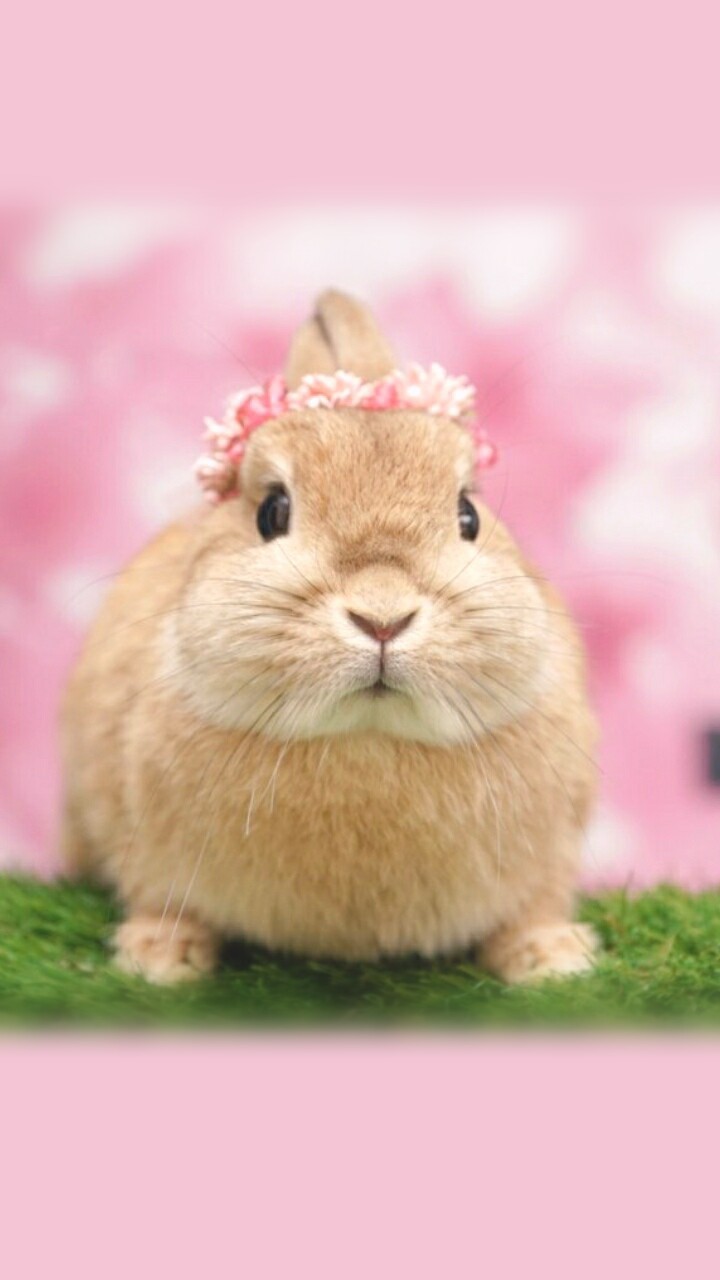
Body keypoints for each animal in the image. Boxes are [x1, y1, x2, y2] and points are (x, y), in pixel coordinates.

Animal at [60, 289, 599, 985]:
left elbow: (535, 904)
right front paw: (158, 960)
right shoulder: (139, 837)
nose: (382, 617)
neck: (366, 740)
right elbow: (160, 896)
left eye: (468, 518)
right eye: (273, 512)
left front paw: (552, 959)